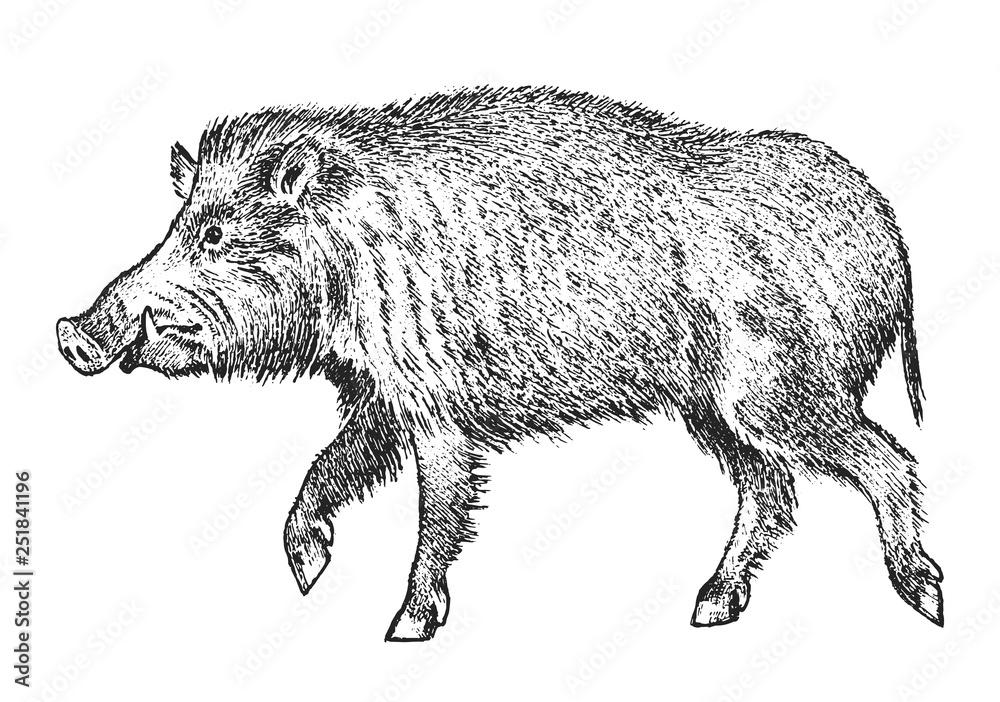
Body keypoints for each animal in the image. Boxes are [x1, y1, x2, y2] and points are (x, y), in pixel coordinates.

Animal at [57, 86, 942, 640]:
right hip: (713, 410)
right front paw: (309, 573)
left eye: (212, 235)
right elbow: (328, 467)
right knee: (772, 491)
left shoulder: (437, 407)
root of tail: (890, 235)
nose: (71, 333)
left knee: (886, 458)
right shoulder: (381, 395)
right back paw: (709, 608)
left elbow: (439, 508)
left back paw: (926, 598)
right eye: (177, 225)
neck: (350, 258)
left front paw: (404, 628)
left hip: (776, 392)